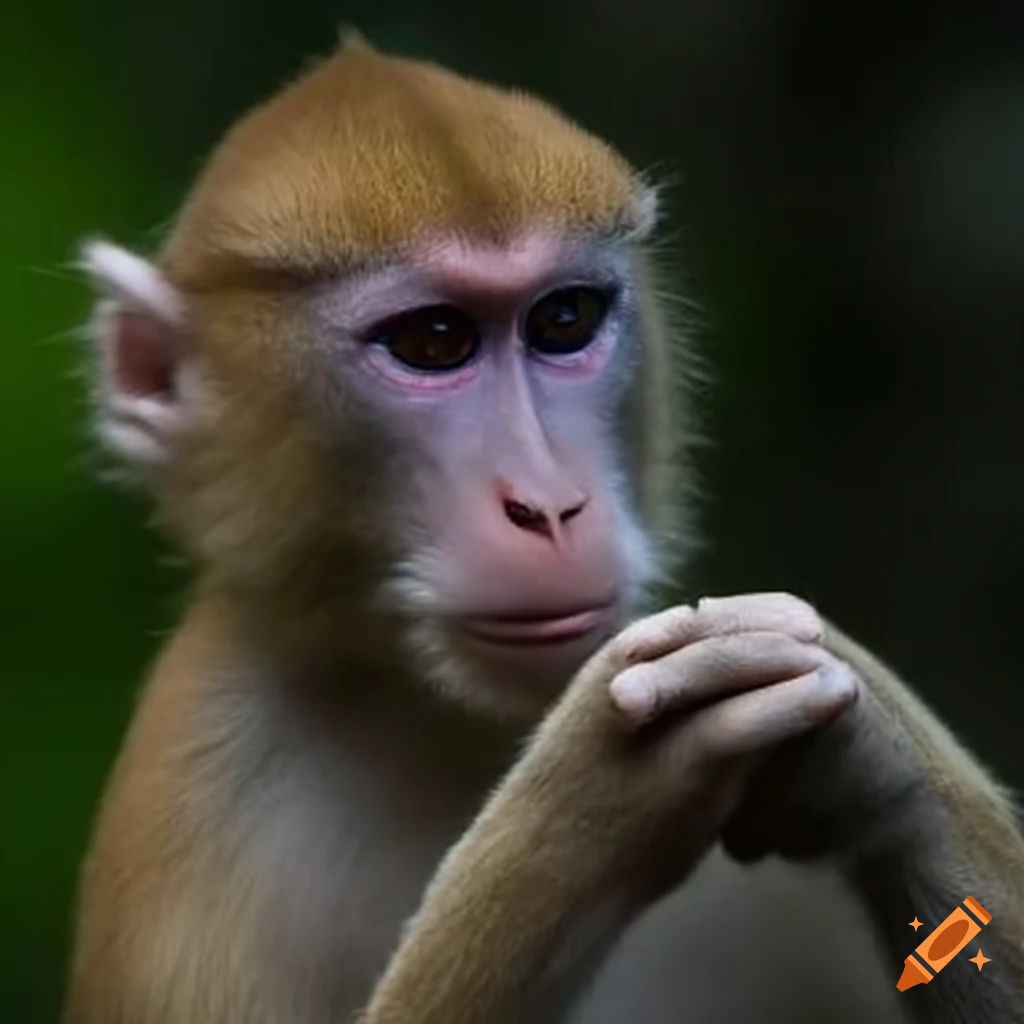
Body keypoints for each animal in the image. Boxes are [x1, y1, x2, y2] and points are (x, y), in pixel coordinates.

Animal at [64, 35, 1024, 1024]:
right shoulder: (201, 809)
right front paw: (593, 797)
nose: (551, 506)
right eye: (434, 343)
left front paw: (877, 742)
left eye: (563, 319)